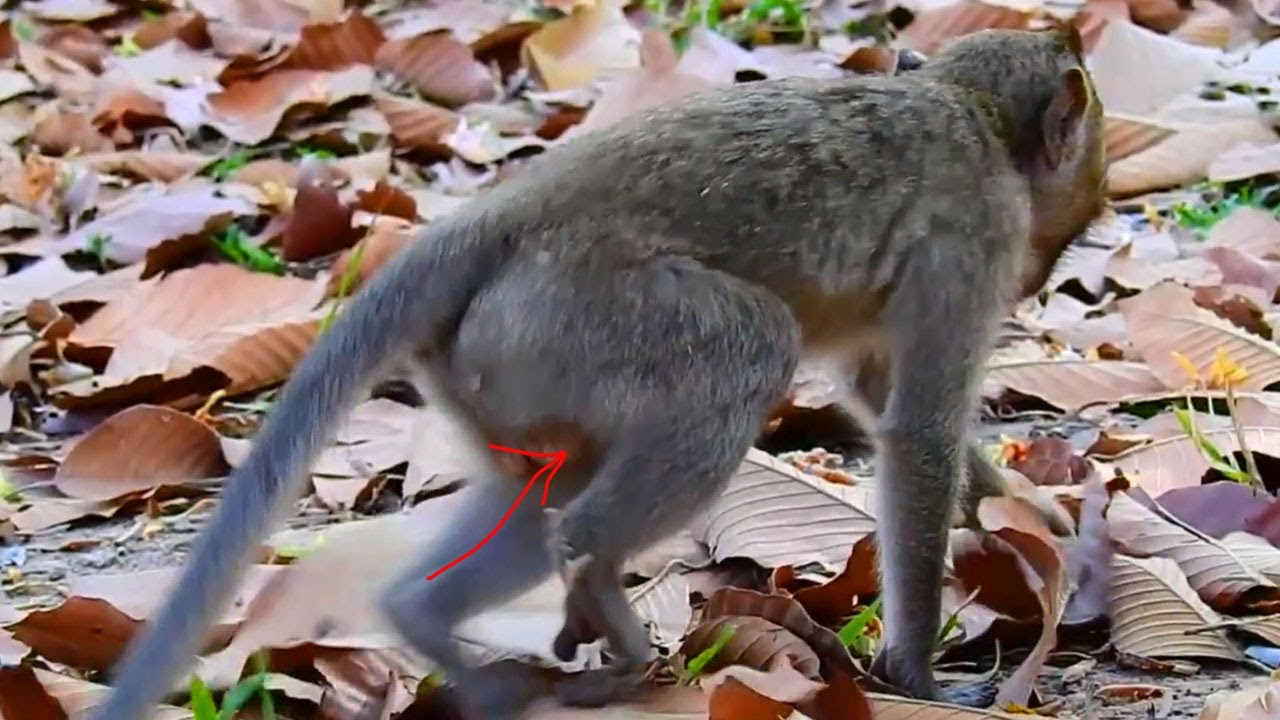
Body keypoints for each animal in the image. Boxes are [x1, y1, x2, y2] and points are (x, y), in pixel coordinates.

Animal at [89, 25, 1106, 720]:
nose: (1046, 272)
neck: (967, 110)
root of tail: (502, 212)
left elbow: (877, 392)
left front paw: (1026, 505)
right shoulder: (977, 234)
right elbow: (917, 431)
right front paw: (919, 675)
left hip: (501, 364)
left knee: (534, 489)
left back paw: (434, 627)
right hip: (587, 317)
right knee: (740, 353)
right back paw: (593, 580)